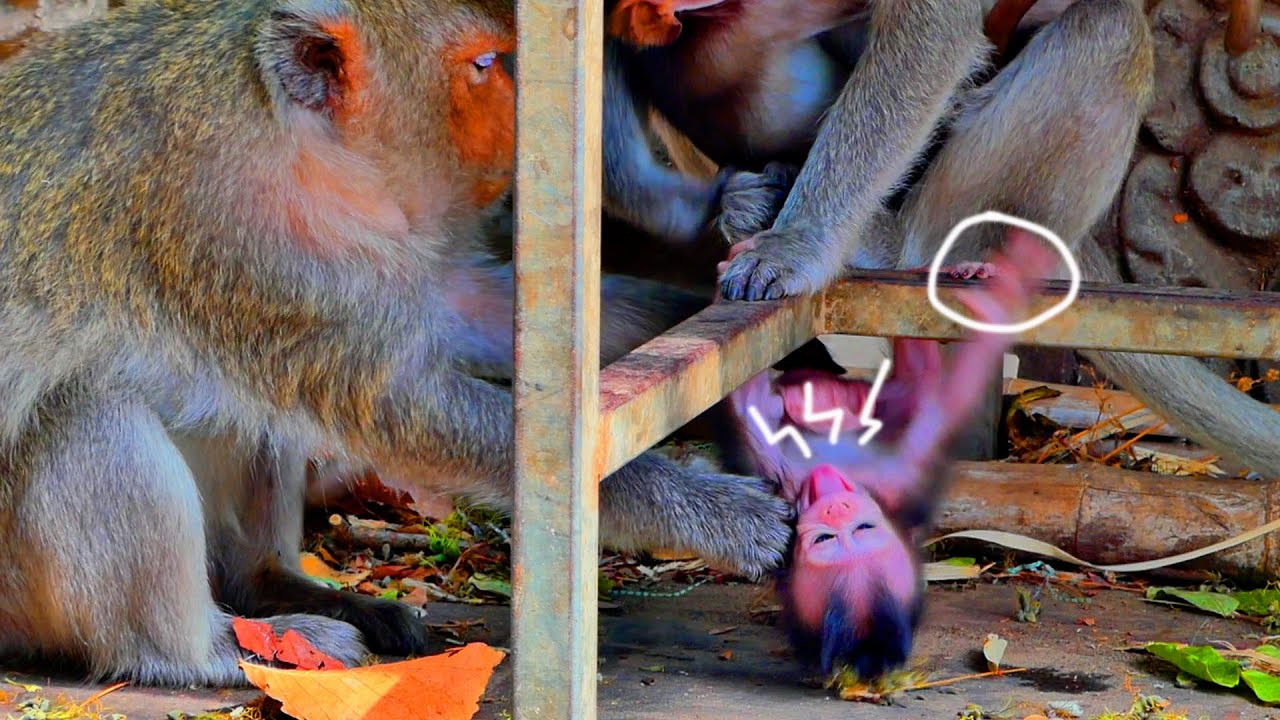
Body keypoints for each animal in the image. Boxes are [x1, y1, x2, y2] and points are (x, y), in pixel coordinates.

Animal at [0, 0, 801, 687]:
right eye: (484, 64)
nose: (524, 127)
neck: (299, 148)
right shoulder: (239, 242)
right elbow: (399, 401)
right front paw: (712, 511)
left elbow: (462, 305)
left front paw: (722, 282)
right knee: (91, 415)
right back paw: (211, 649)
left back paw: (273, 585)